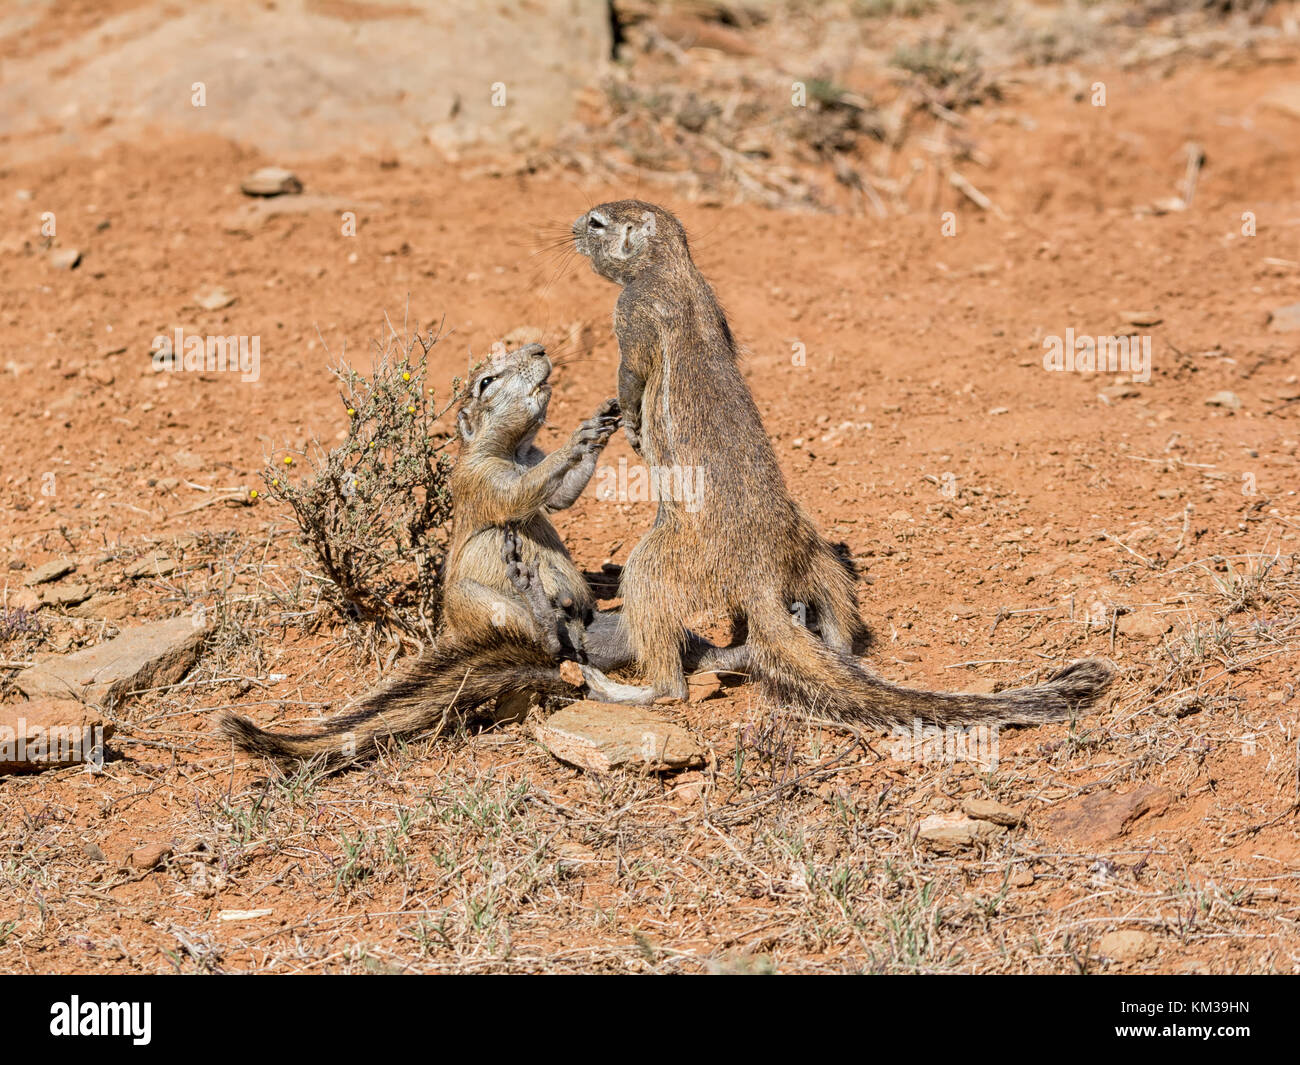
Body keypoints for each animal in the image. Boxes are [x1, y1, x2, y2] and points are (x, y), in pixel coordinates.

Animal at [217, 342, 743, 763]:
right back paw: (535, 598)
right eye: (487, 381)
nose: (538, 348)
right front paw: (577, 436)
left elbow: (561, 494)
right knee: (543, 636)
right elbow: (522, 494)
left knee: (576, 644)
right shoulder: (483, 478)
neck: (514, 449)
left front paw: (600, 421)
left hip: (608, 628)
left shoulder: (535, 463)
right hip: (481, 604)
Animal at [571, 200, 1114, 726]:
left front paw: (632, 429)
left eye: (598, 221)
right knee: (837, 618)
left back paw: (625, 690)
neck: (673, 267)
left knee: (672, 683)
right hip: (817, 553)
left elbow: (631, 377)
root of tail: (759, 576)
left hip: (653, 565)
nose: (573, 226)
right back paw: (828, 646)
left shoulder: (631, 313)